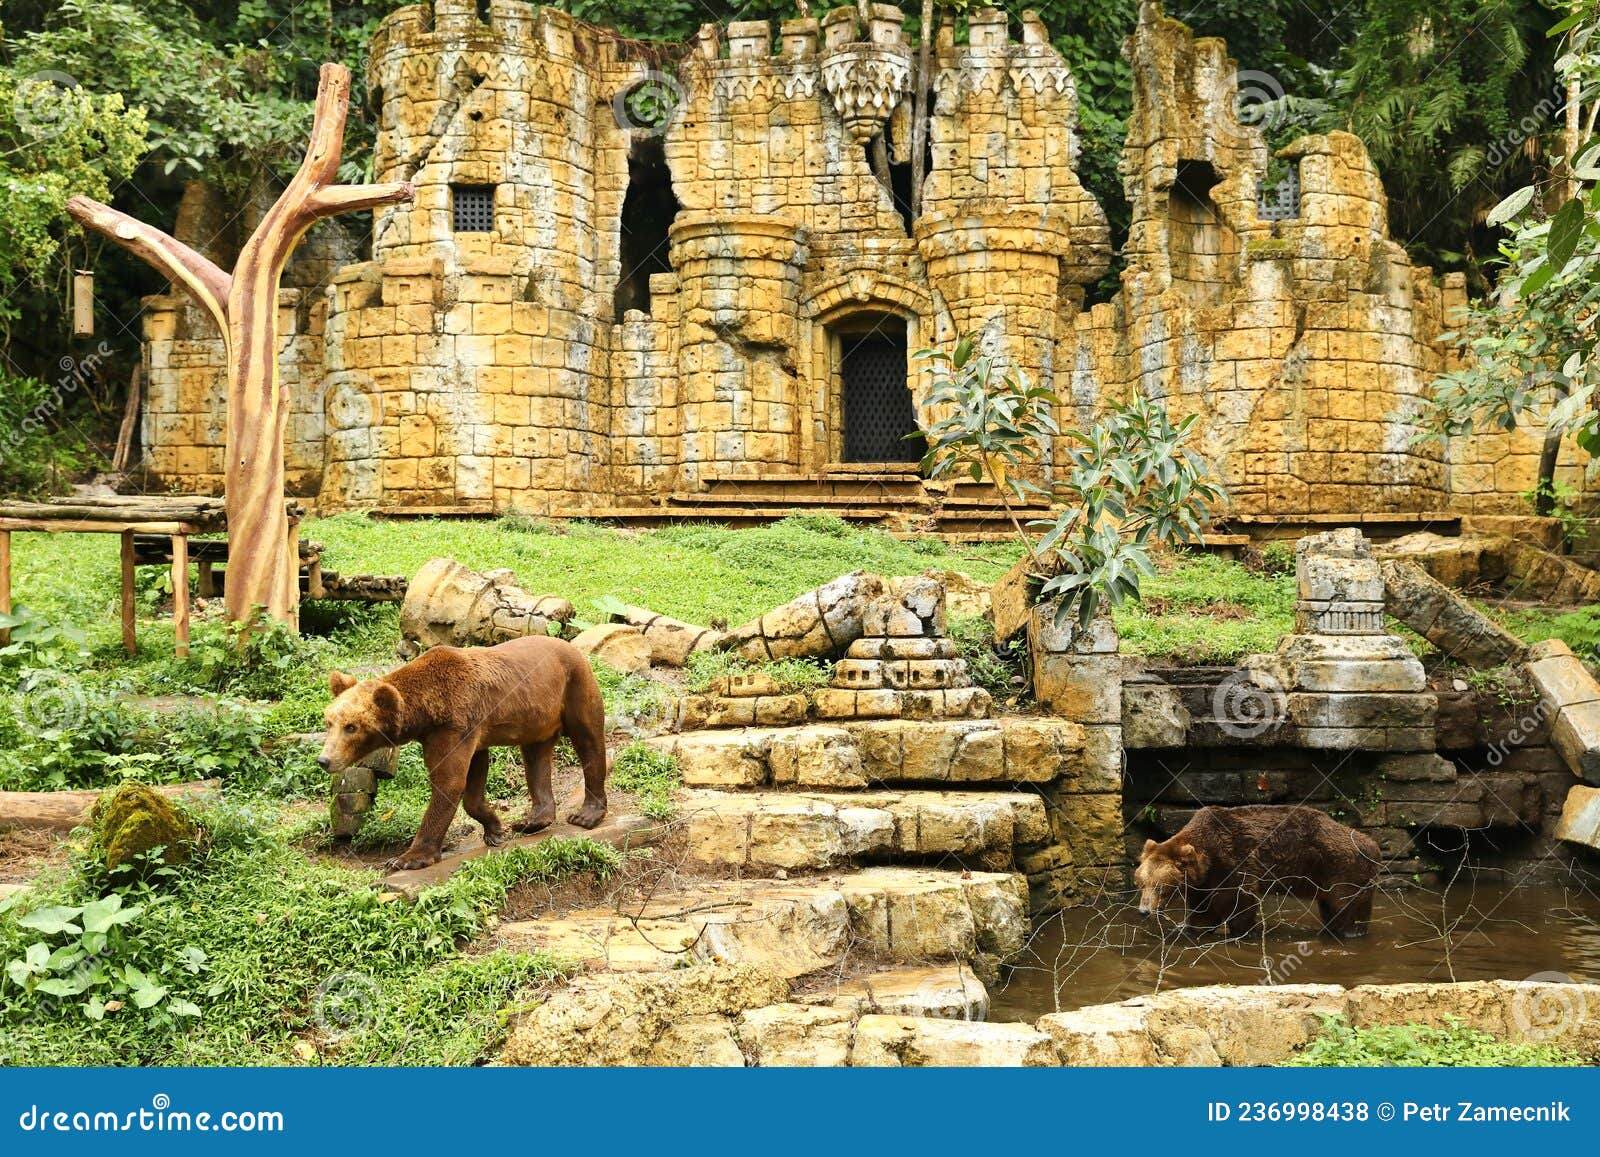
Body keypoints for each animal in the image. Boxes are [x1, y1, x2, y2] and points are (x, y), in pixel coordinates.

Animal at [319, 634, 609, 870]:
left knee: (588, 741)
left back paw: (586, 814)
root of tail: (571, 646)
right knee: (536, 757)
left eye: (351, 727)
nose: (324, 760)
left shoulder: (454, 724)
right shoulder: (467, 731)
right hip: (537, 716)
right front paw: (495, 830)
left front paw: (407, 858)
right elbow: (473, 780)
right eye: (329, 722)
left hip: (574, 685)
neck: (426, 711)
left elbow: (449, 781)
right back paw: (531, 820)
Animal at [1134, 804, 1380, 938]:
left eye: (1160, 886)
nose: (1144, 911)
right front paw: (1189, 929)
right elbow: (1204, 911)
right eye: (1141, 883)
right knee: (1330, 907)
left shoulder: (1232, 861)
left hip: (1343, 868)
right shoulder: (1202, 882)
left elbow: (1238, 900)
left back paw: (1349, 931)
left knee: (1346, 908)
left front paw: (1243, 931)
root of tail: (1373, 844)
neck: (1206, 858)